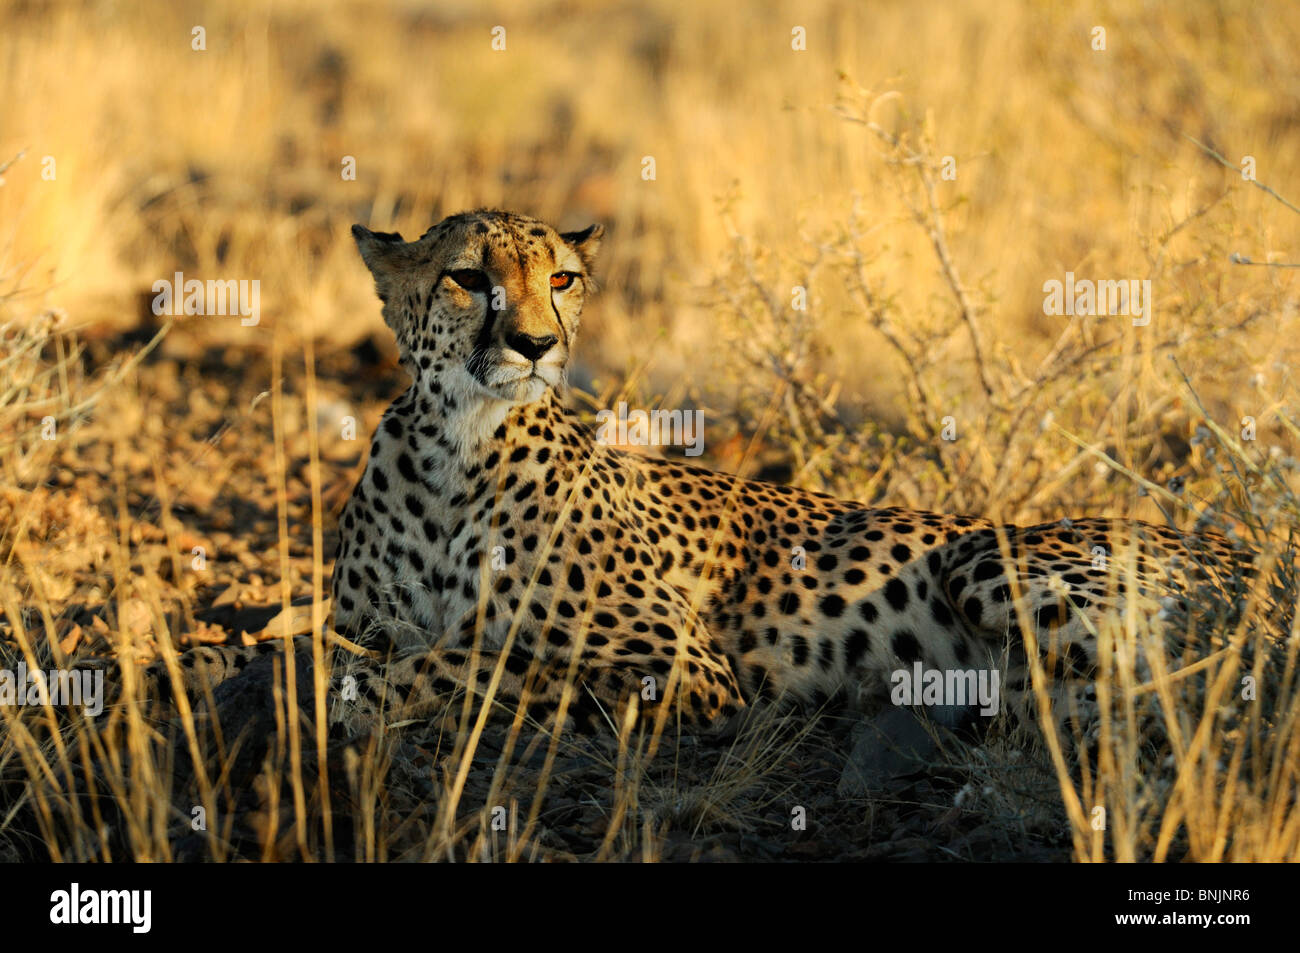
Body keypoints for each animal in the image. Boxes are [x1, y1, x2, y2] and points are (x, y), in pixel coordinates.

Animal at [122, 209, 1261, 769]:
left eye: (561, 279)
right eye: (467, 276)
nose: (534, 342)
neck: (456, 445)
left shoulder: (680, 663)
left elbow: (478, 660)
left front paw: (336, 696)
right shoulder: (367, 612)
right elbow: (312, 642)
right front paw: (214, 670)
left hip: (990, 559)